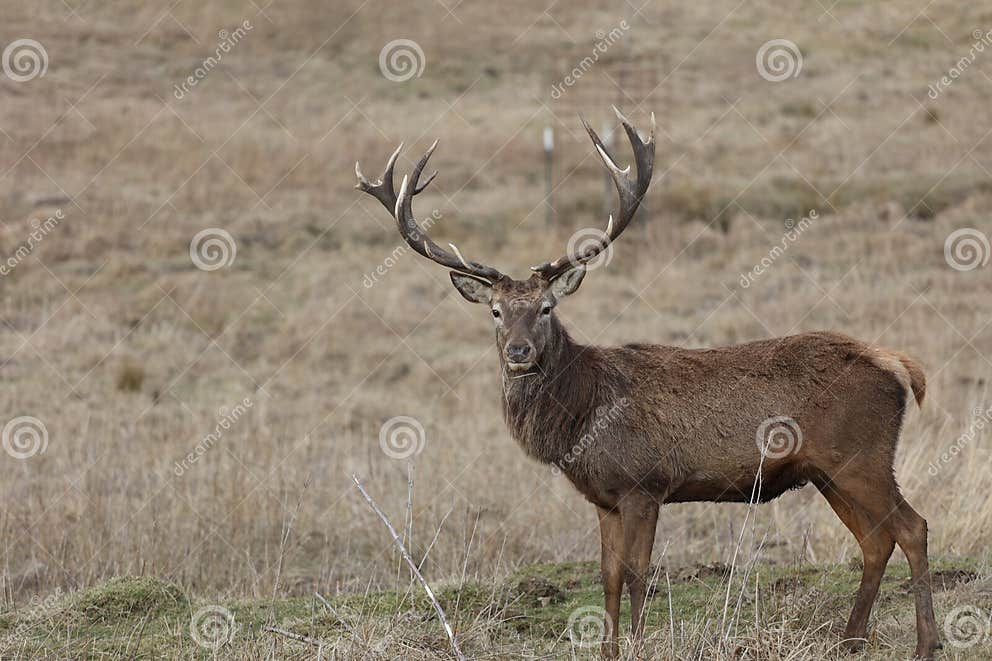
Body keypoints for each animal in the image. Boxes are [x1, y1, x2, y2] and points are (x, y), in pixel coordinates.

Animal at [355, 108, 940, 660]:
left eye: (546, 308)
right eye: (496, 311)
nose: (519, 353)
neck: (580, 418)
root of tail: (899, 365)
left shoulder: (644, 483)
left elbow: (640, 574)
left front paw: (637, 645)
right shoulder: (604, 497)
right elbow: (609, 575)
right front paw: (609, 650)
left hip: (861, 456)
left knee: (912, 527)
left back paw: (925, 643)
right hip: (825, 471)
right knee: (875, 541)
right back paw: (851, 640)